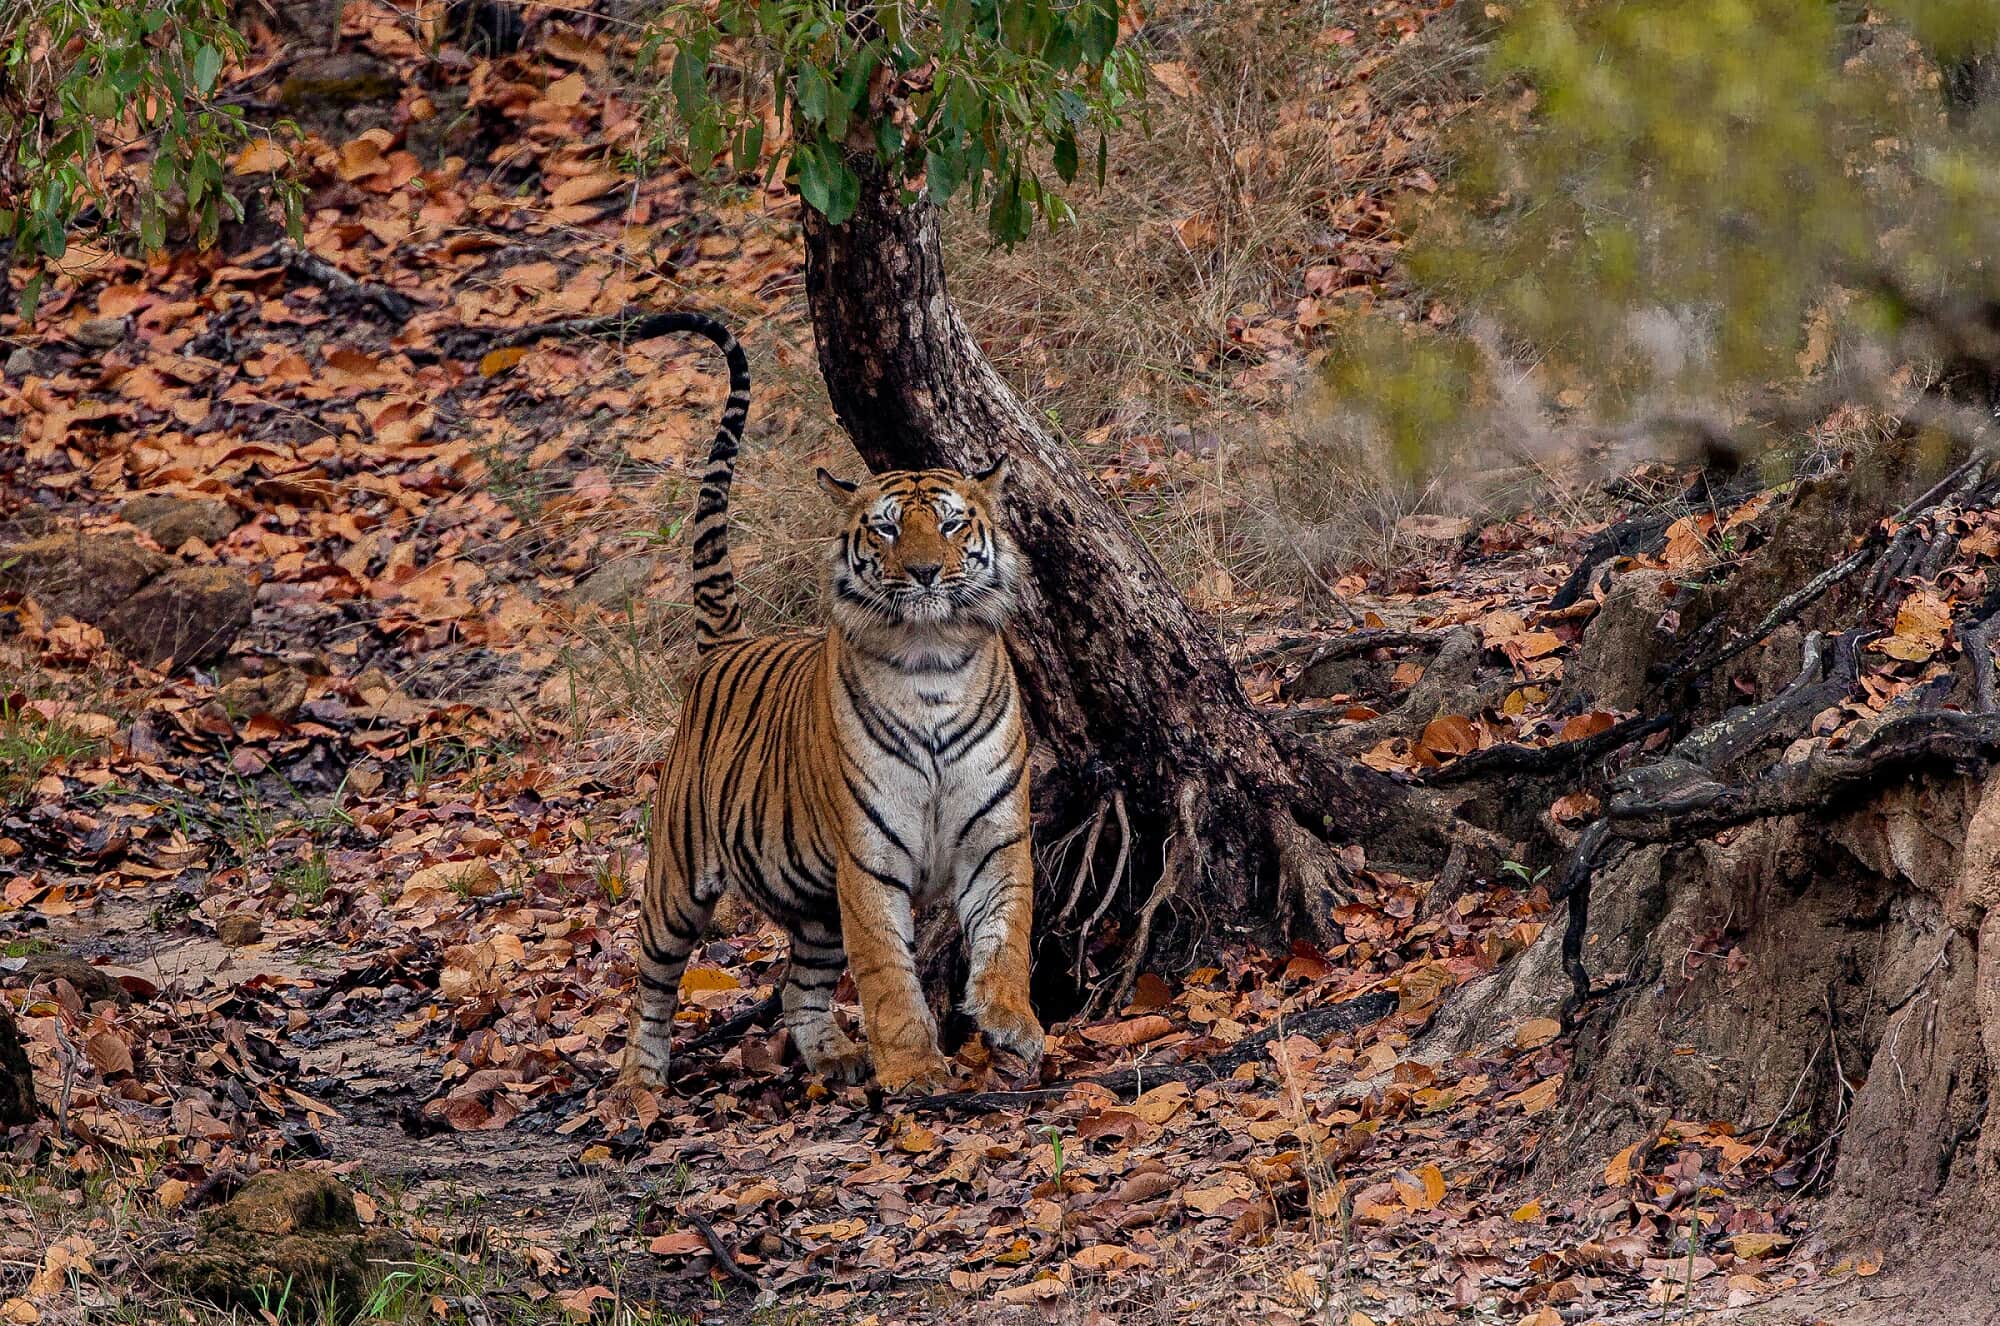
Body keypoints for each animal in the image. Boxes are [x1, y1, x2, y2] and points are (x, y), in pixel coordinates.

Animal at [616, 311, 1044, 1094]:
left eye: (951, 524)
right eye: (885, 528)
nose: (925, 572)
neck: (932, 661)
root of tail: (724, 647)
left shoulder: (997, 834)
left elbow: (1007, 933)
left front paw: (1010, 1021)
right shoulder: (867, 860)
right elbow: (886, 974)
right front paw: (914, 1070)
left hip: (812, 907)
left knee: (798, 987)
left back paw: (834, 1057)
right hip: (676, 881)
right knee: (650, 986)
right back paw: (638, 1086)